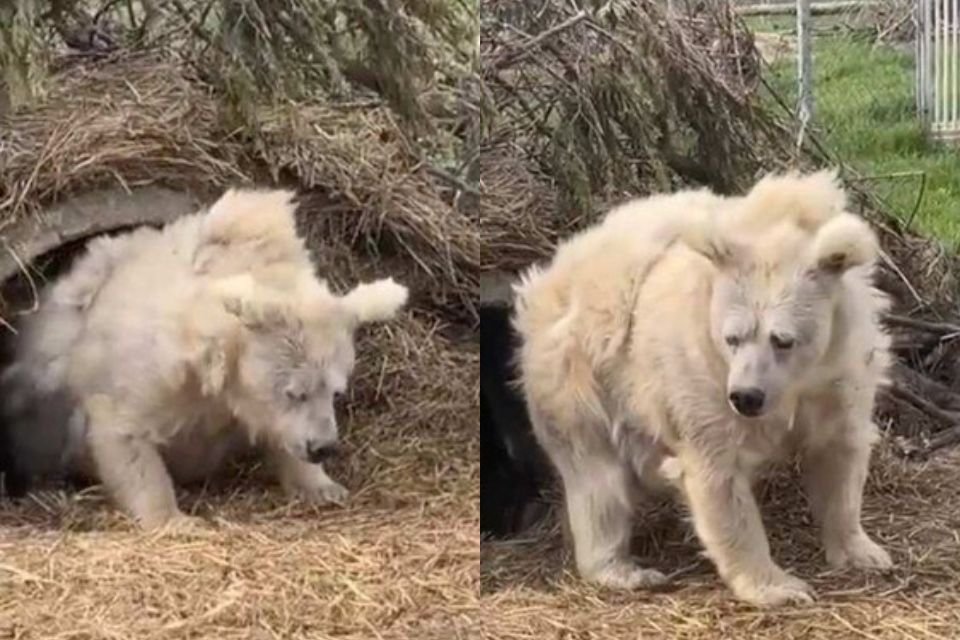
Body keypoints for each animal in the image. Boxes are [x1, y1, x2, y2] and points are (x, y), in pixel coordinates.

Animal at [511, 169, 893, 607]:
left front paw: (864, 552)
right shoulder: (699, 378)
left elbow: (840, 454)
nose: (746, 397)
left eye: (783, 339)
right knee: (596, 480)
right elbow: (718, 479)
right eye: (732, 337)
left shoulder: (842, 373)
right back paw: (625, 570)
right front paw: (780, 587)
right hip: (579, 377)